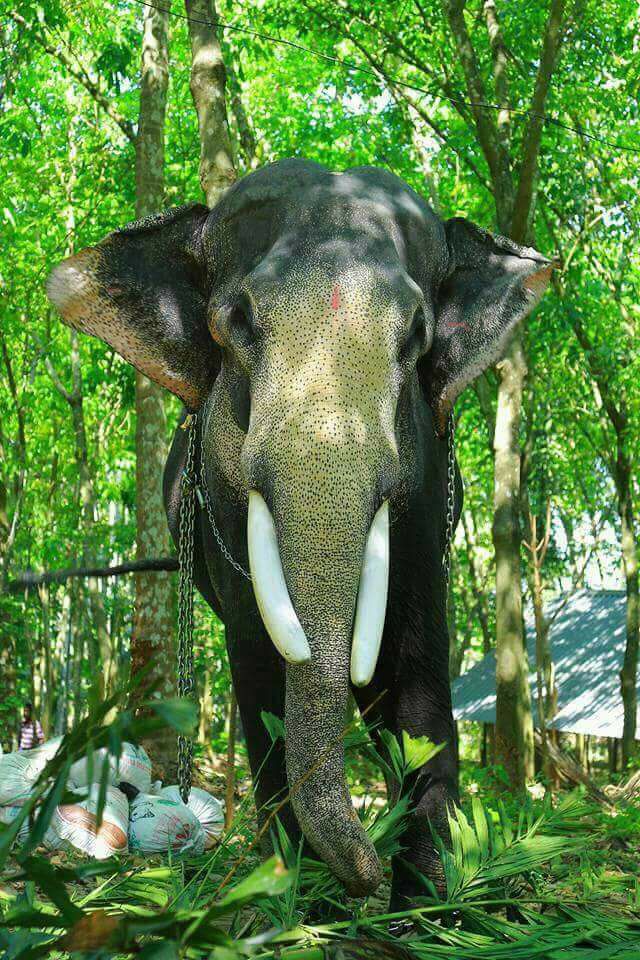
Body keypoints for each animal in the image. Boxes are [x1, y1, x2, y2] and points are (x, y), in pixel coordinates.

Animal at [47, 158, 551, 906]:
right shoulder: (224, 514)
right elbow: (258, 667)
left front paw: (430, 904)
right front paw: (291, 892)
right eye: (236, 320)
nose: (368, 876)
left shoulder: (425, 500)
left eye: (416, 335)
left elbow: (417, 662)